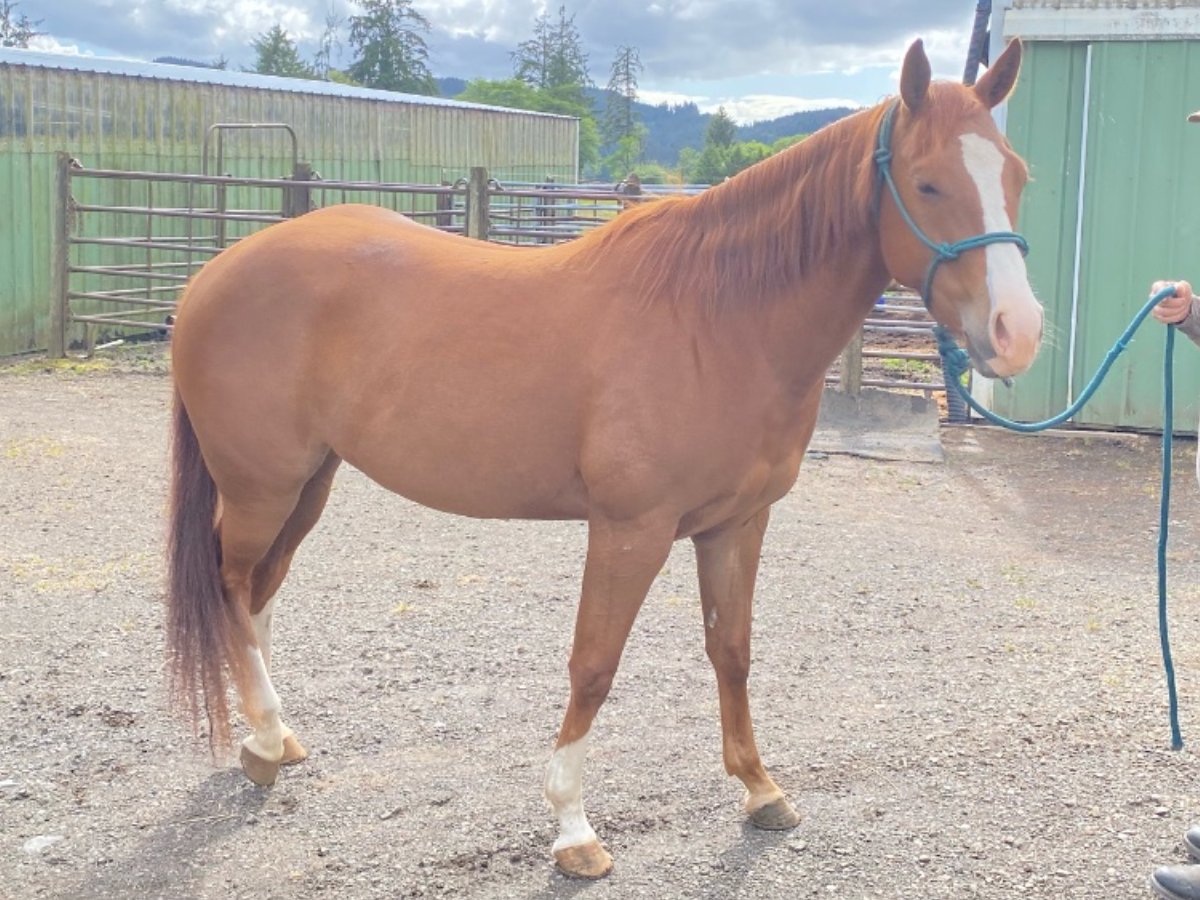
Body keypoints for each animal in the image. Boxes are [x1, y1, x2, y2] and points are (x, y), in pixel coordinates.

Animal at [166, 38, 1042, 879]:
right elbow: (594, 663)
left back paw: (272, 738)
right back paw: (266, 736)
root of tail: (215, 273)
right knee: (233, 585)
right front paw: (573, 829)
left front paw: (760, 789)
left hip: (308, 482)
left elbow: (732, 652)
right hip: (262, 485)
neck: (718, 320)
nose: (1018, 333)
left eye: (1017, 175)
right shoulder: (630, 529)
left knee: (260, 592)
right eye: (927, 185)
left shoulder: (736, 524)